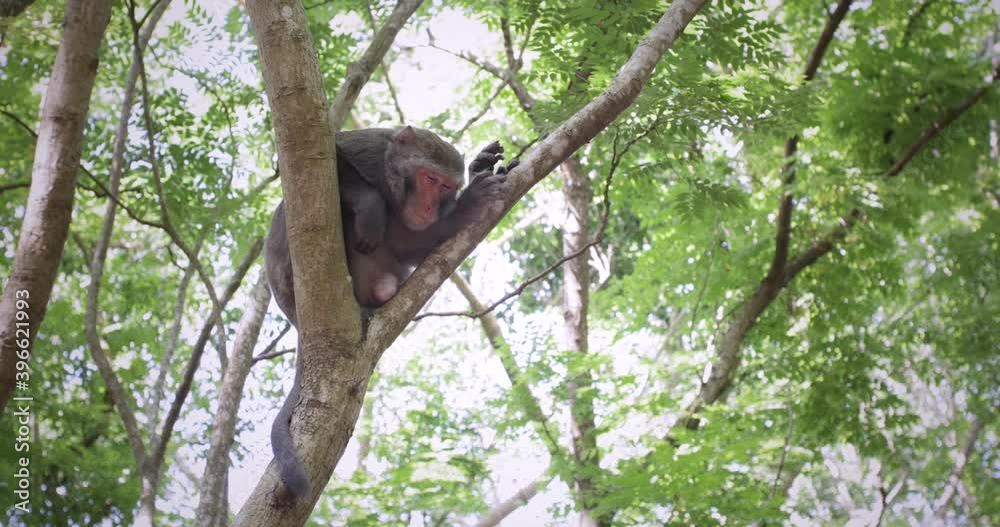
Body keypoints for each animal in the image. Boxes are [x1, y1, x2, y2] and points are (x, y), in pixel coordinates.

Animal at [264, 126, 516, 497]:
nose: (429, 206)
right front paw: (372, 204)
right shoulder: (368, 148)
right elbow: (311, 159)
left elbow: (413, 242)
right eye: (428, 179)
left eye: (446, 187)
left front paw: (475, 180)